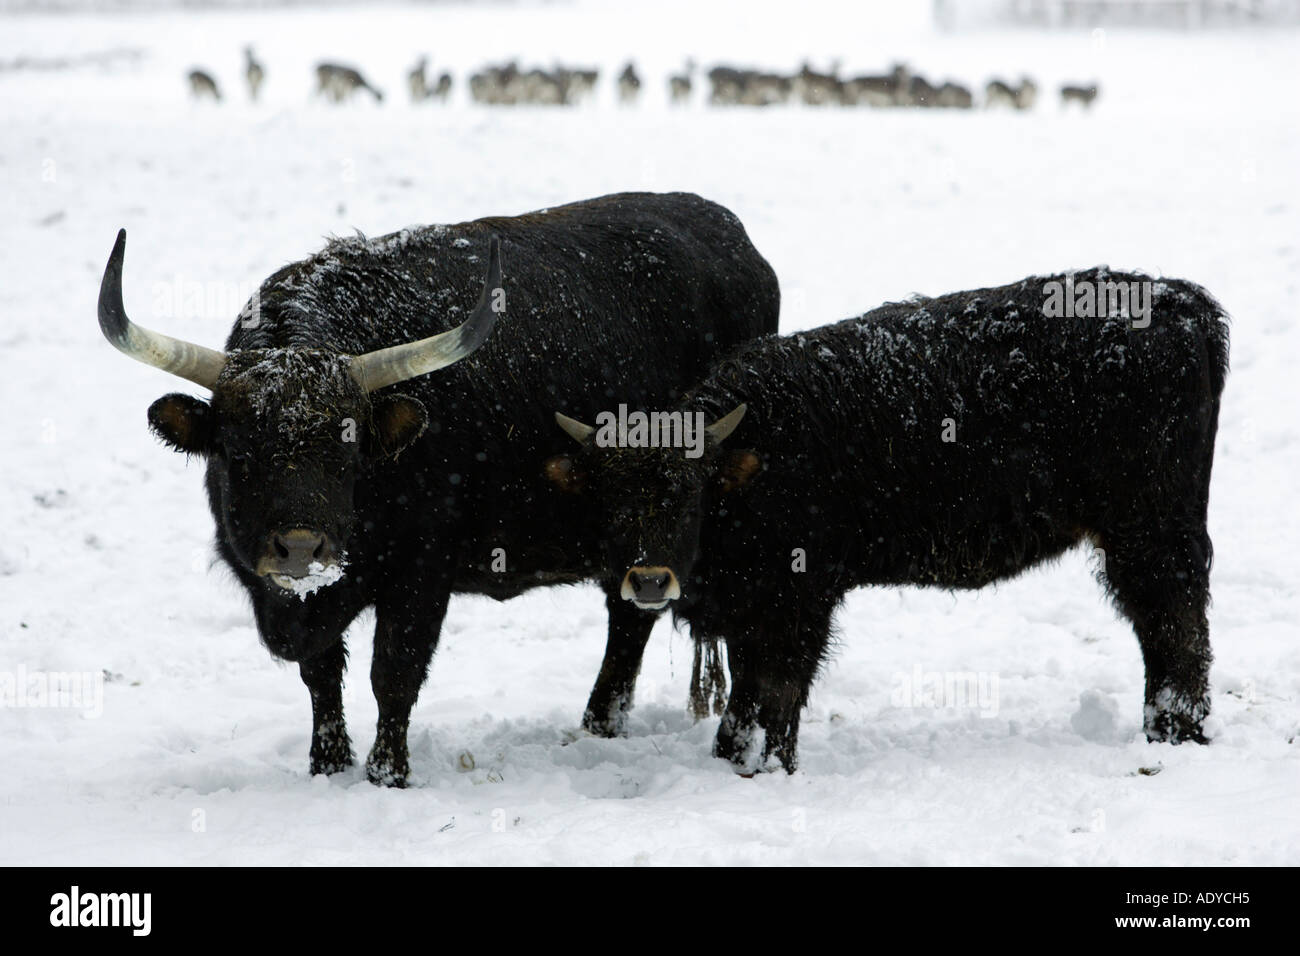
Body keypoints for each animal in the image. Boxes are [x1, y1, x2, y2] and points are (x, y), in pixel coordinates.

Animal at [97, 192, 779, 786]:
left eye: (348, 450)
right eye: (239, 449)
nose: (299, 549)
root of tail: (732, 235)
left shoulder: (421, 572)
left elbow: (393, 672)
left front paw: (386, 775)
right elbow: (322, 677)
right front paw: (327, 767)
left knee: (631, 621)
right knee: (629, 613)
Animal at [545, 269, 1229, 773]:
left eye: (688, 495)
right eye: (609, 501)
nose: (649, 581)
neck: (757, 453)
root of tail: (1184, 303)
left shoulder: (798, 603)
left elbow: (776, 691)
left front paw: (765, 765)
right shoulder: (750, 609)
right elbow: (745, 693)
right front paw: (730, 755)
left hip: (1149, 535)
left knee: (1175, 624)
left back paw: (1174, 733)